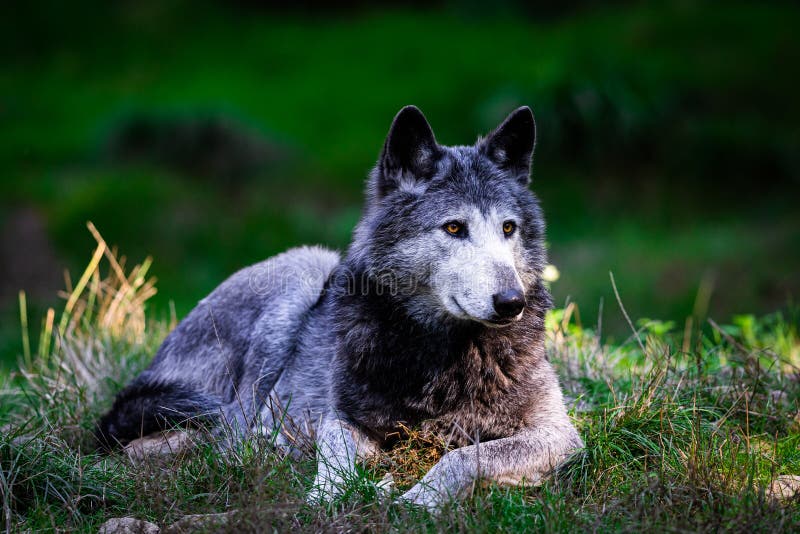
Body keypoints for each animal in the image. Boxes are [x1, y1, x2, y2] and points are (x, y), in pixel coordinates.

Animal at [95, 105, 583, 509]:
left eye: (508, 228)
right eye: (453, 228)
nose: (512, 302)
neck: (442, 355)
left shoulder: (559, 433)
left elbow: (467, 456)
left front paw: (418, 499)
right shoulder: (344, 419)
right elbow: (335, 455)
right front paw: (330, 495)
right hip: (301, 278)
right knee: (227, 435)